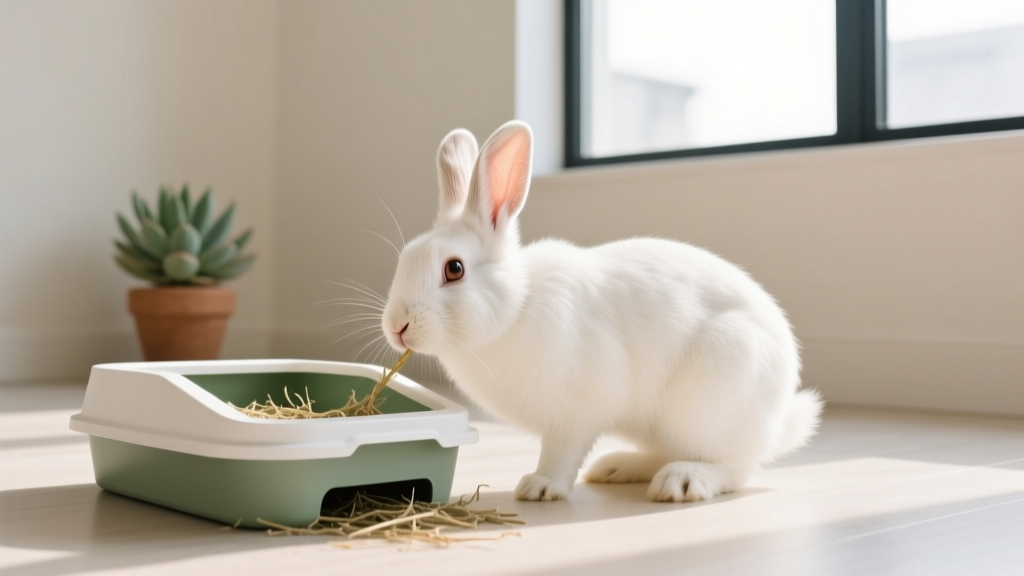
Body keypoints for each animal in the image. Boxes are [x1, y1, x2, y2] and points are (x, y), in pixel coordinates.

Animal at [381, 120, 823, 502]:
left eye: (454, 269)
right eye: (403, 259)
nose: (397, 327)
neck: (517, 307)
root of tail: (777, 420)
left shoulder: (573, 414)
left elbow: (560, 453)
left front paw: (539, 486)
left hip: (710, 397)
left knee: (736, 467)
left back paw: (681, 481)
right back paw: (615, 467)